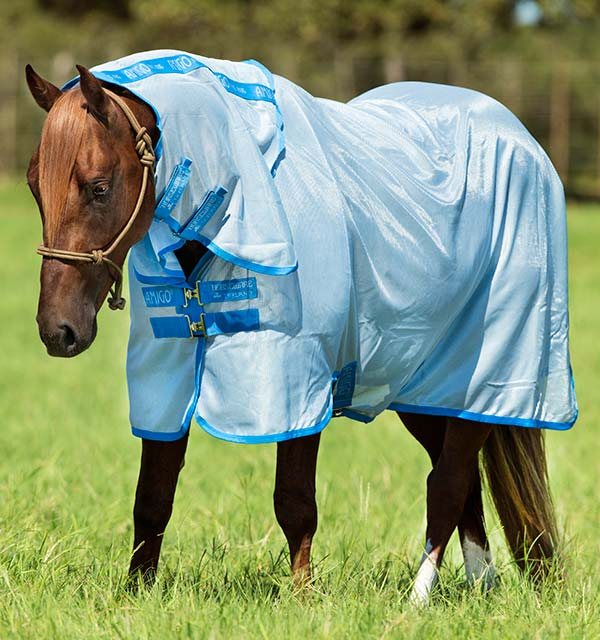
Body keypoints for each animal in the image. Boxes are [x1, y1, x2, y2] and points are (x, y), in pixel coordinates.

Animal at [26, 60, 566, 605]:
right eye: (33, 184)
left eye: (98, 186)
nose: (58, 330)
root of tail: (522, 138)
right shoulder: (169, 377)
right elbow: (152, 498)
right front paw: (137, 594)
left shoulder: (299, 383)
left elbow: (294, 503)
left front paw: (303, 598)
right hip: (428, 388)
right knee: (465, 486)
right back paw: (480, 591)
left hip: (491, 374)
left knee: (450, 483)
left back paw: (416, 602)